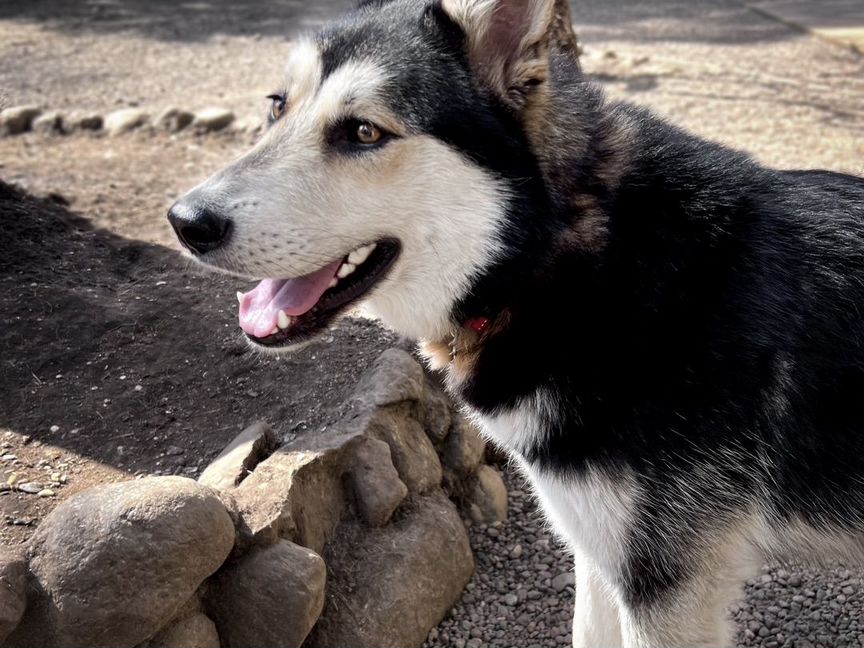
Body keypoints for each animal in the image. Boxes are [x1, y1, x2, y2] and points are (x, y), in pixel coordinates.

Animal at [170, 0, 864, 644]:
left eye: (363, 132)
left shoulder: (665, 588)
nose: (185, 221)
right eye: (276, 106)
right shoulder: (598, 552)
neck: (565, 273)